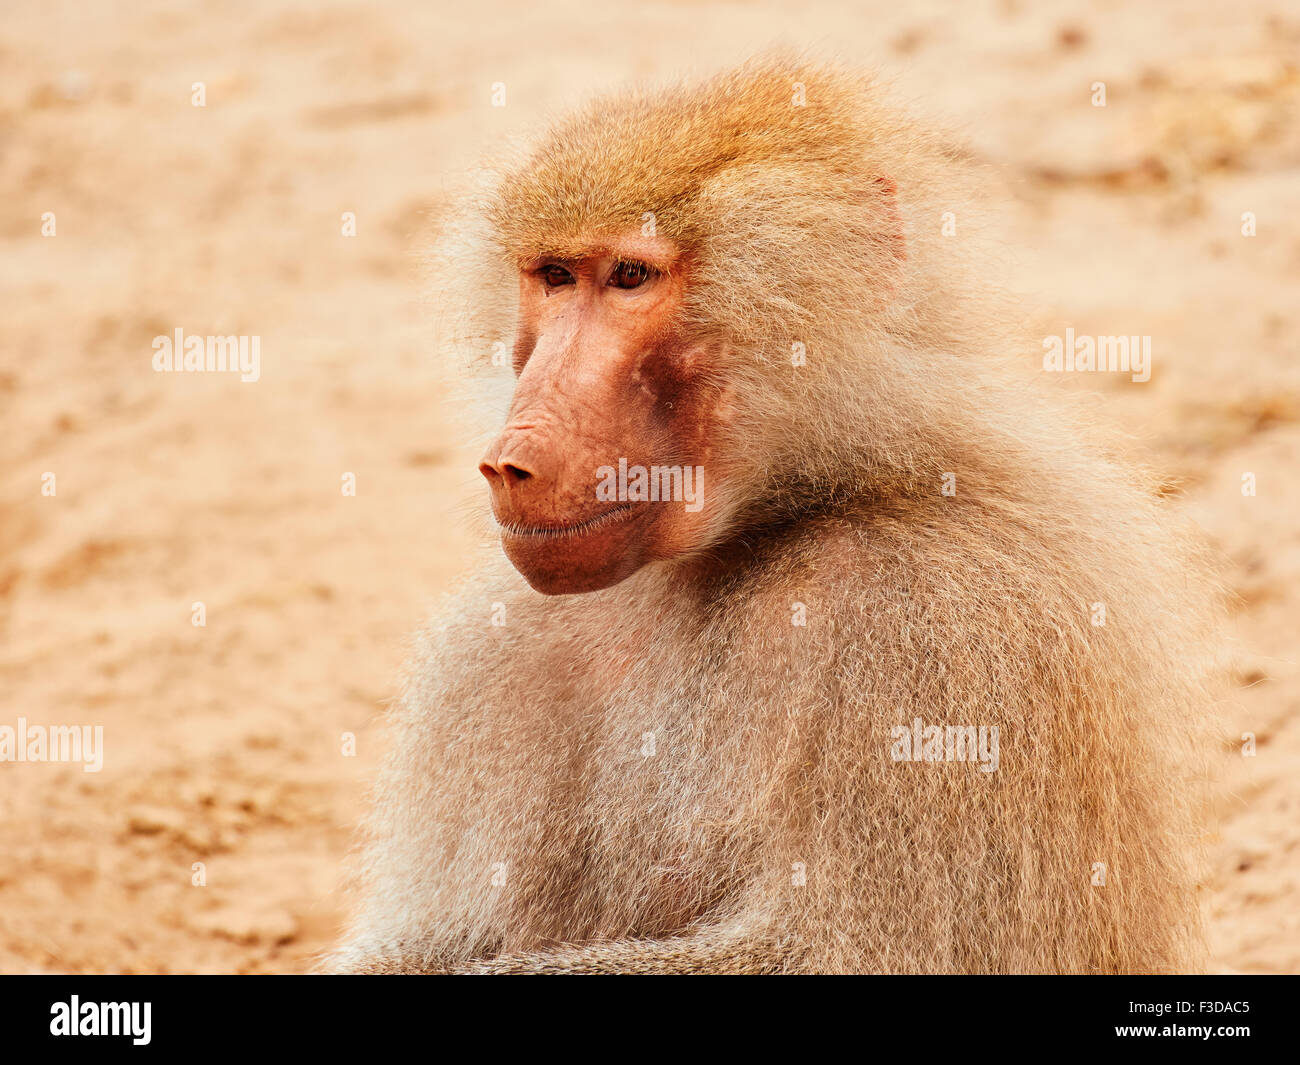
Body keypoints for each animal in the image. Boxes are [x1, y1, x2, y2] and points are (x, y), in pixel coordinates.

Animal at [325, 56, 1220, 974]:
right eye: (555, 277)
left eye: (630, 278)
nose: (513, 460)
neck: (773, 520)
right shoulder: (493, 645)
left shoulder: (944, 620)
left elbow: (839, 950)